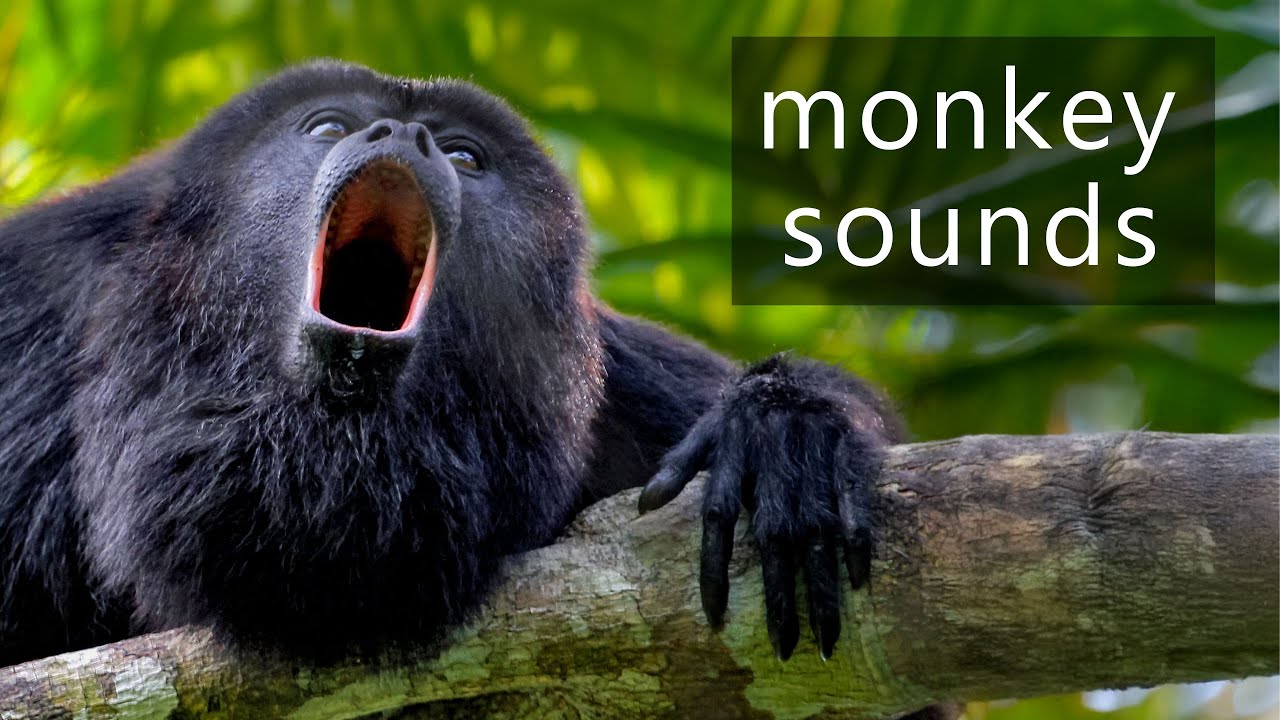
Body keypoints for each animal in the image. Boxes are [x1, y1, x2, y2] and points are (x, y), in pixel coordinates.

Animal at [0, 61, 954, 719]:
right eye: (326, 126)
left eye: (463, 153)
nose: (402, 133)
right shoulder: (32, 330)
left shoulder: (628, 390)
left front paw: (783, 434)